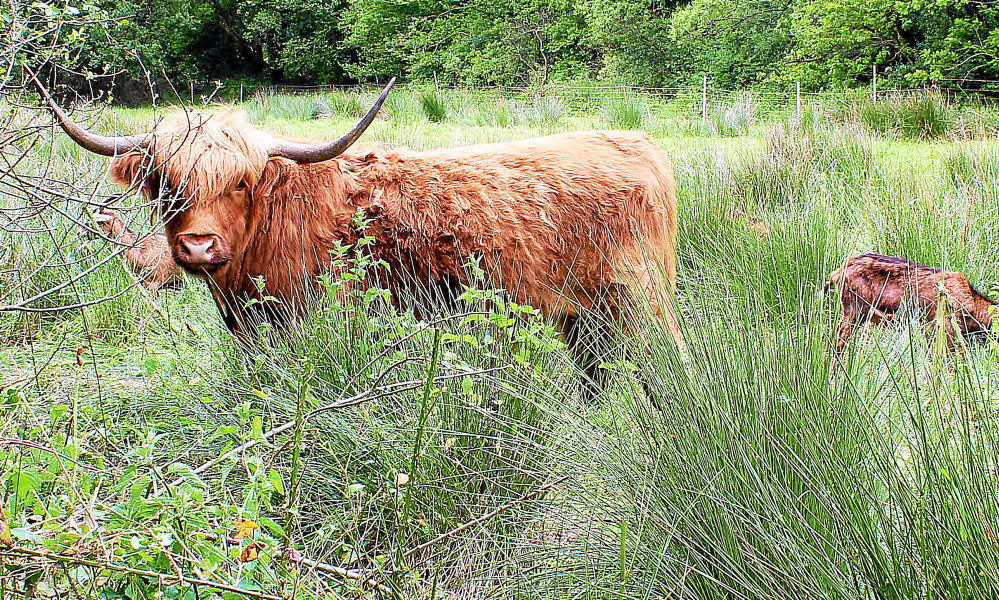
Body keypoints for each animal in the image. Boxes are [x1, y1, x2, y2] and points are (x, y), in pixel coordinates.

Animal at [33, 72, 688, 396]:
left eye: (241, 182)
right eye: (167, 183)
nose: (197, 247)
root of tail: (639, 142)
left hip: (643, 303)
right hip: (586, 321)